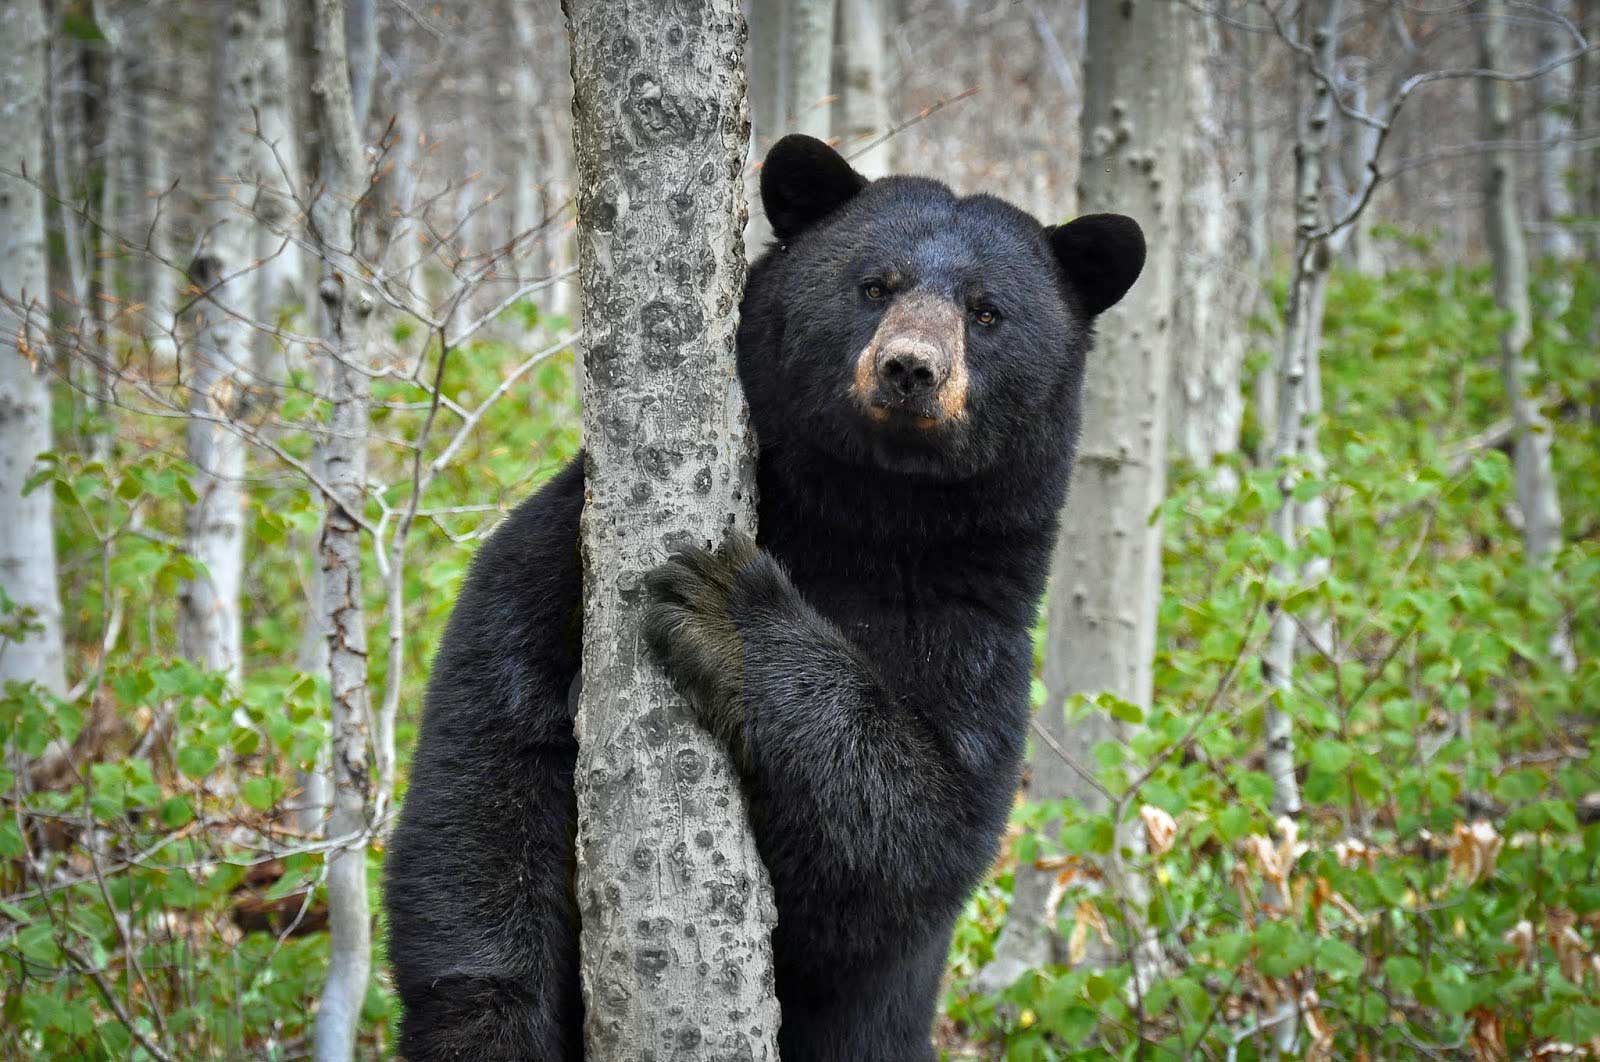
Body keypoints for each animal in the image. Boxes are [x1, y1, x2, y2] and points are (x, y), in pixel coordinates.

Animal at [384, 134, 1145, 1062]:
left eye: (987, 311)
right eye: (874, 284)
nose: (910, 369)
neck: (864, 512)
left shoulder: (975, 635)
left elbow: (912, 845)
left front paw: (727, 605)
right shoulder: (563, 549)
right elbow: (487, 762)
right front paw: (487, 1027)